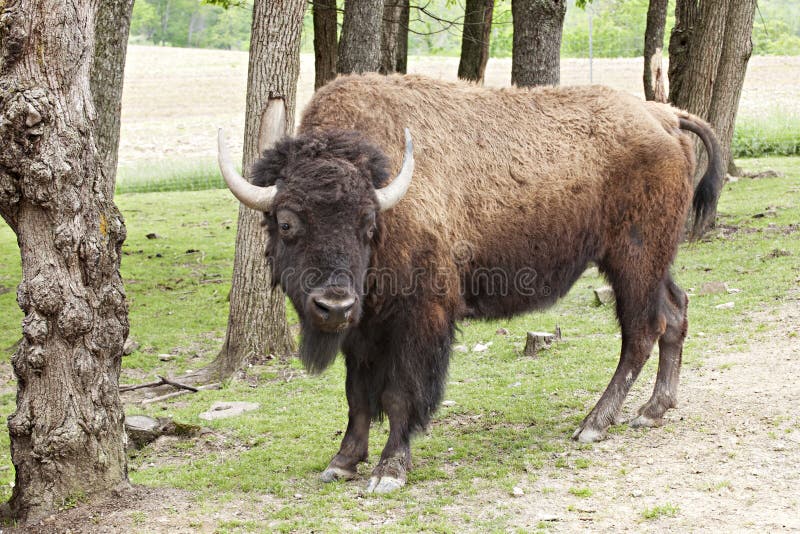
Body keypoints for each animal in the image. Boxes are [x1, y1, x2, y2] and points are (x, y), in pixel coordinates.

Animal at [218, 74, 722, 493]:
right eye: (286, 222)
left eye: (367, 223)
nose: (333, 304)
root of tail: (663, 115)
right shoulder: (362, 327)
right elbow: (357, 396)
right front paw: (341, 463)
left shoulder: (421, 316)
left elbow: (399, 394)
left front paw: (388, 471)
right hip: (654, 262)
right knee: (675, 312)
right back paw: (652, 412)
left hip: (632, 260)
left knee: (641, 332)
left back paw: (593, 424)